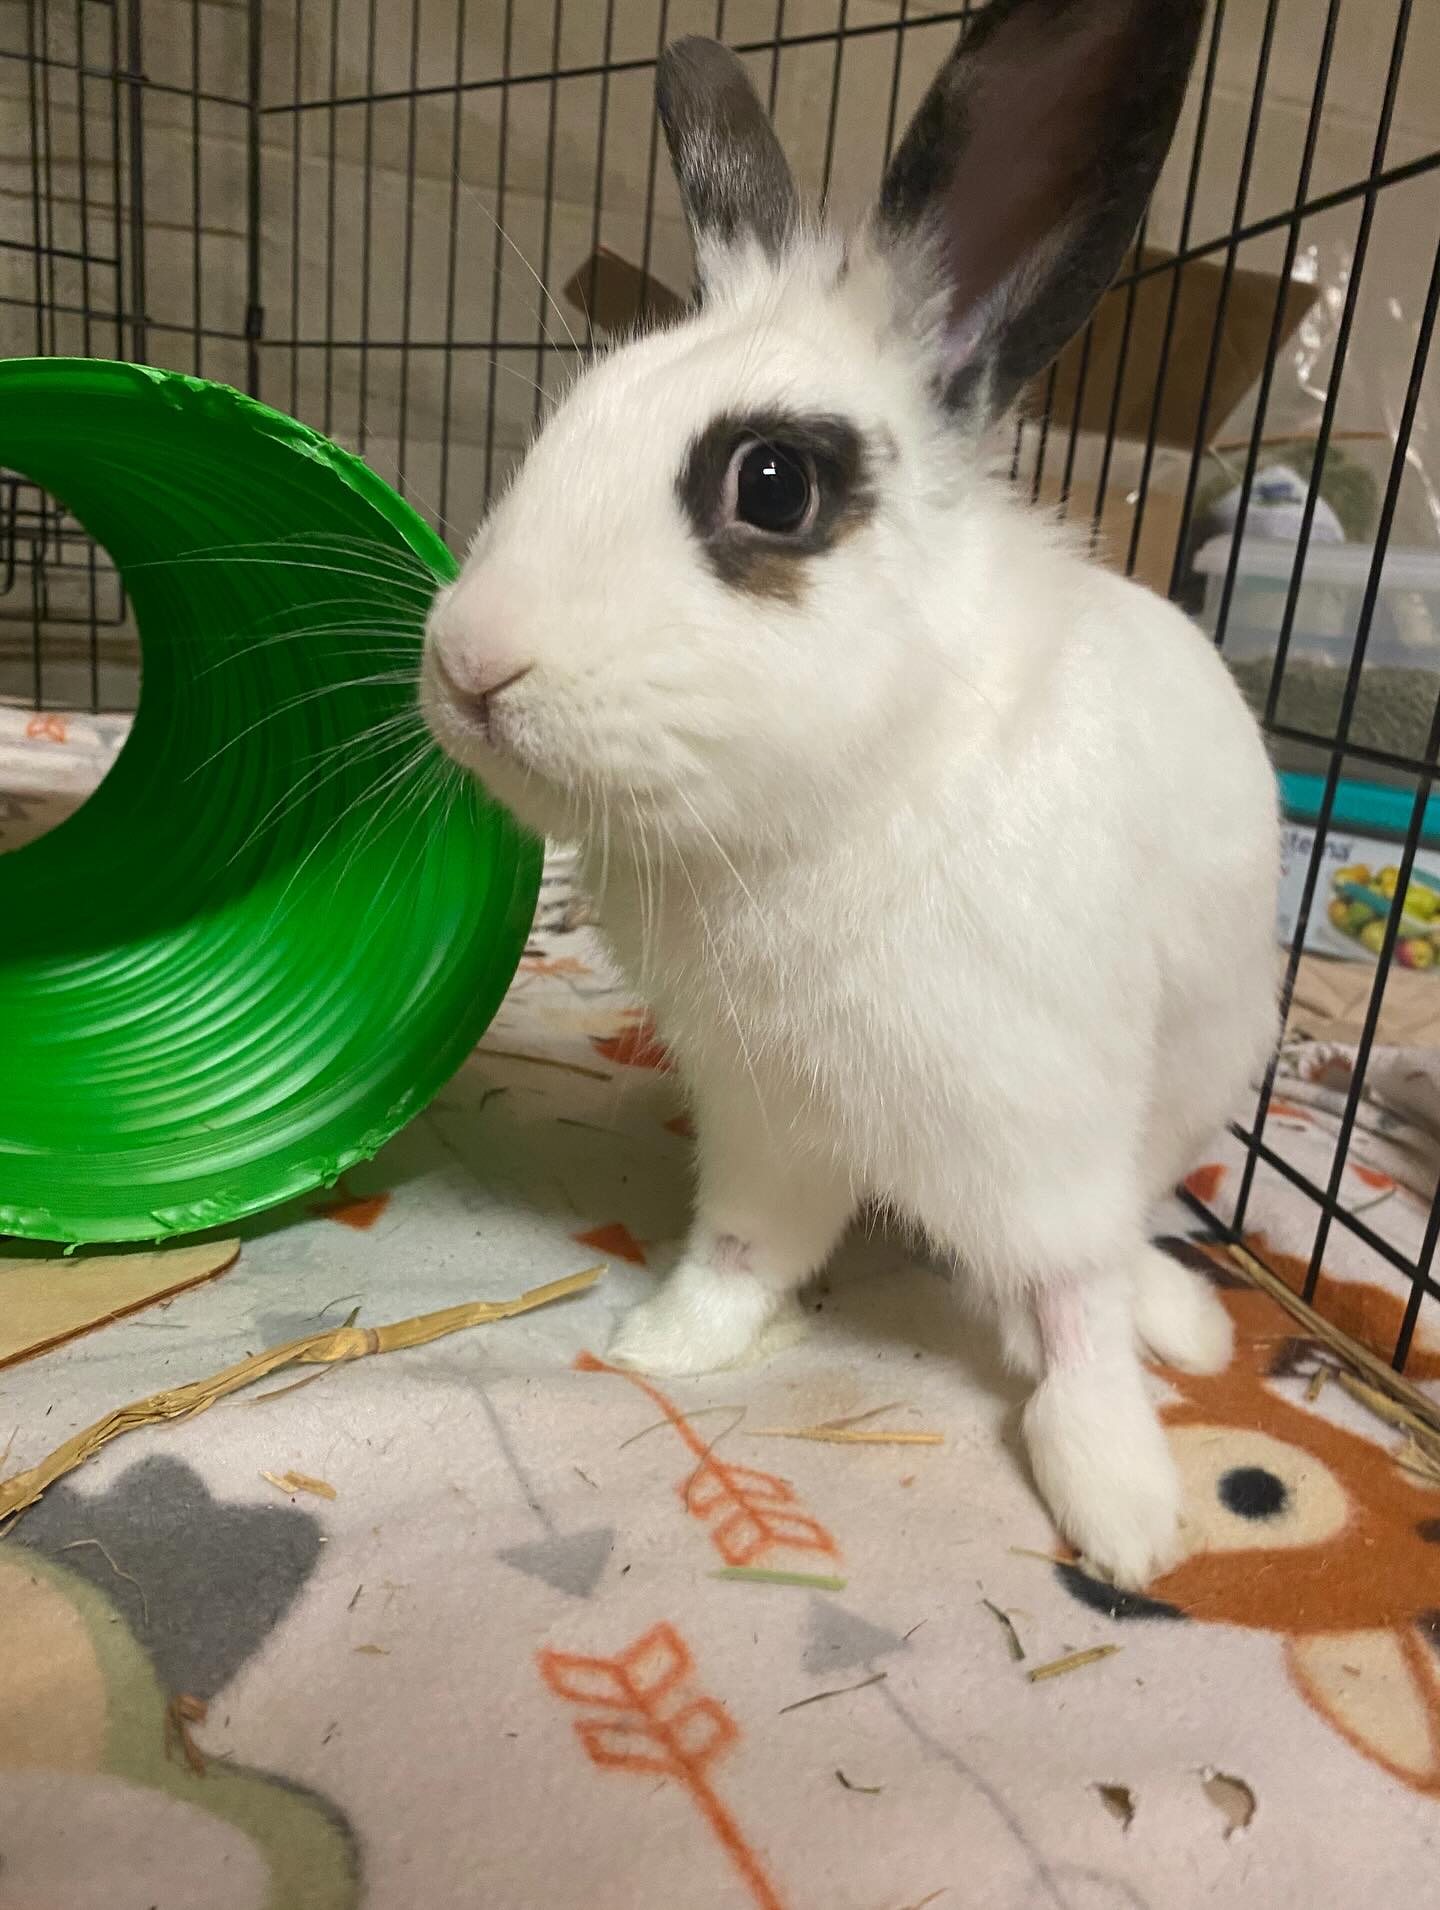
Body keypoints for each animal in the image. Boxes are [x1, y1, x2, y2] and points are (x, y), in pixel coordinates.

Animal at [421, 0, 1281, 1590]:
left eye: (772, 485)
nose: (469, 664)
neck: (851, 799)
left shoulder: (1044, 1128)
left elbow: (1073, 1300)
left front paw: (1125, 1511)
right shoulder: (770, 1114)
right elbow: (744, 1246)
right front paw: (667, 1344)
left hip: (1193, 1083)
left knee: (1124, 1240)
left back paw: (1181, 1323)